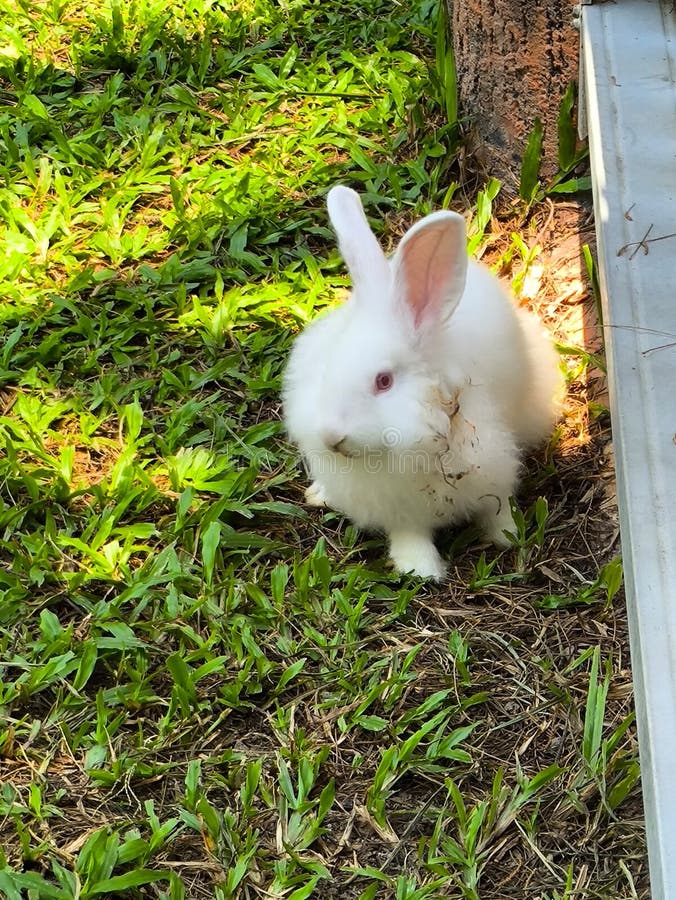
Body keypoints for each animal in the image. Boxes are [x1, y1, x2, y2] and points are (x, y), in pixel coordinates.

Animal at [282, 185, 562, 579]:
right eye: (328, 368)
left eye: (384, 381)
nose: (331, 436)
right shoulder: (398, 507)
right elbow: (409, 532)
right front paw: (419, 569)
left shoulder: (493, 467)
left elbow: (496, 506)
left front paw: (507, 536)